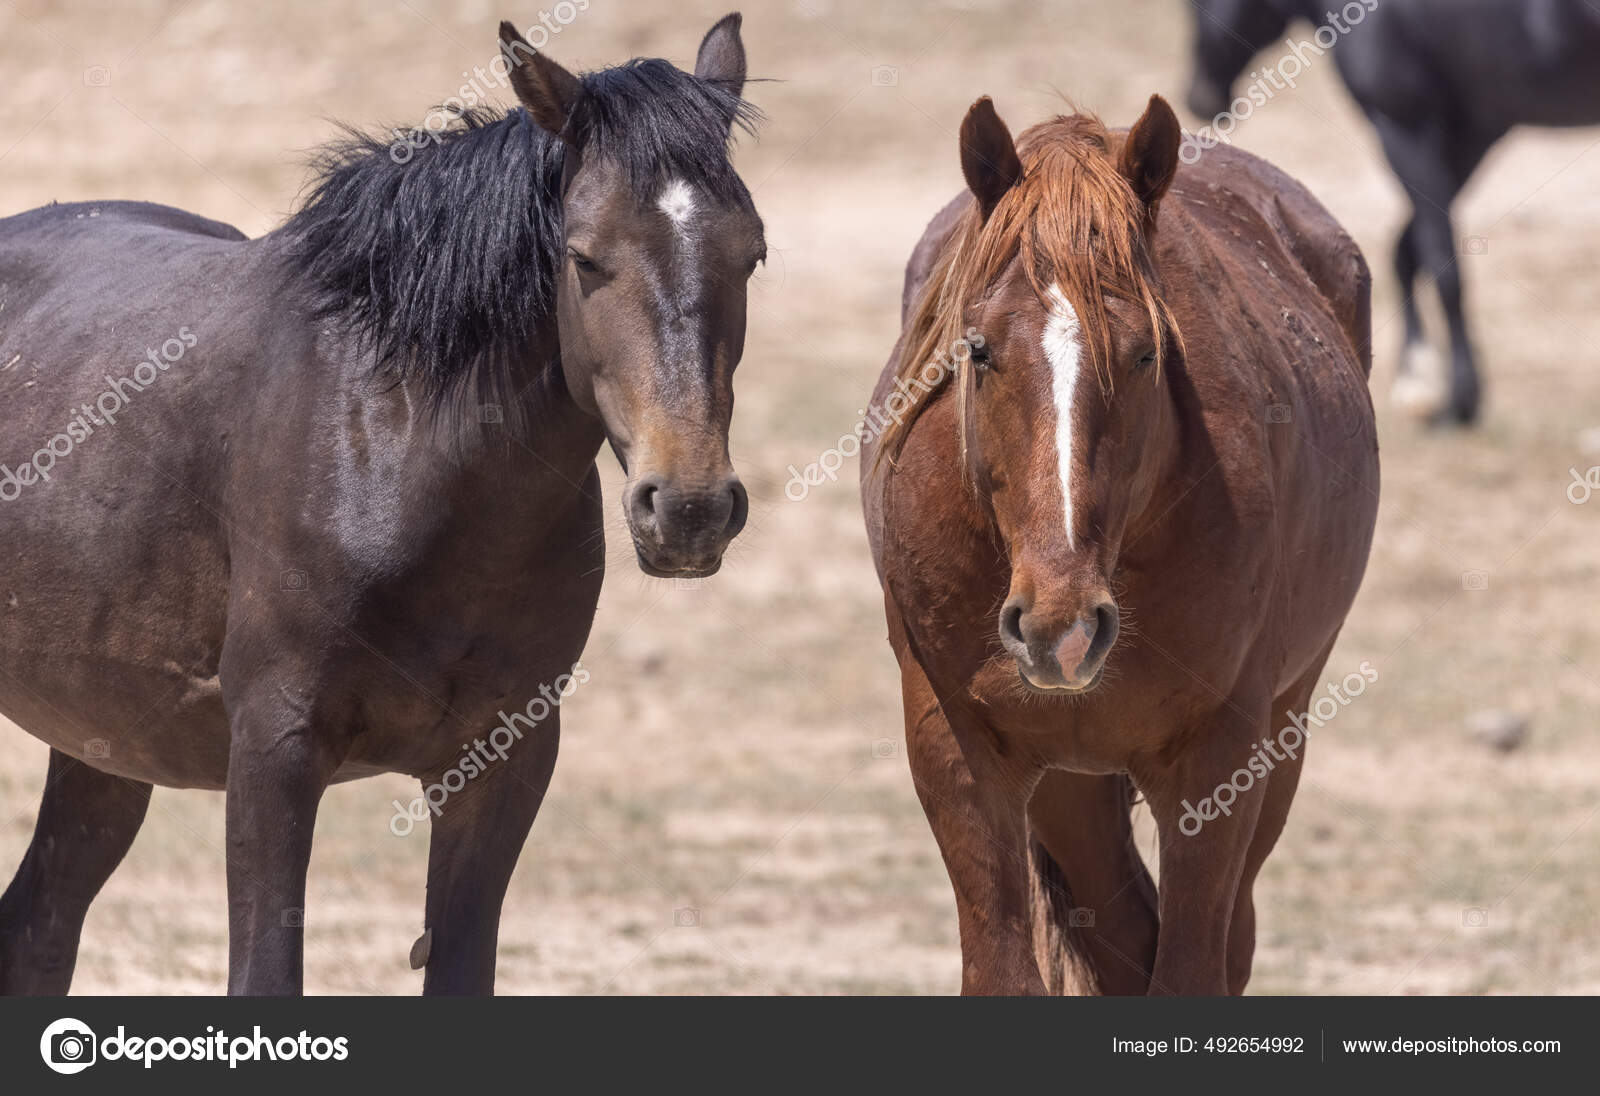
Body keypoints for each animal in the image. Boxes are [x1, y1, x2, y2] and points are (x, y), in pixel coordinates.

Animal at [0, 13, 765, 995]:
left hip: (103, 744)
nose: (690, 507)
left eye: (753, 254)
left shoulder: (501, 763)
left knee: (40, 928)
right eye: (585, 257)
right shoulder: (274, 751)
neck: (402, 454)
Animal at [861, 94, 1379, 994]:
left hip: (1280, 733)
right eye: (979, 348)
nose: (1060, 627)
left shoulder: (1219, 762)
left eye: (1144, 353)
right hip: (1068, 792)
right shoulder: (956, 750)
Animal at [1185, 0, 1600, 425]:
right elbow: (1408, 249)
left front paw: (1458, 399)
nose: (1198, 97)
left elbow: (1442, 264)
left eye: (1196, 5)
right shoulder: (1474, 130)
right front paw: (1418, 378)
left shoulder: (1405, 126)